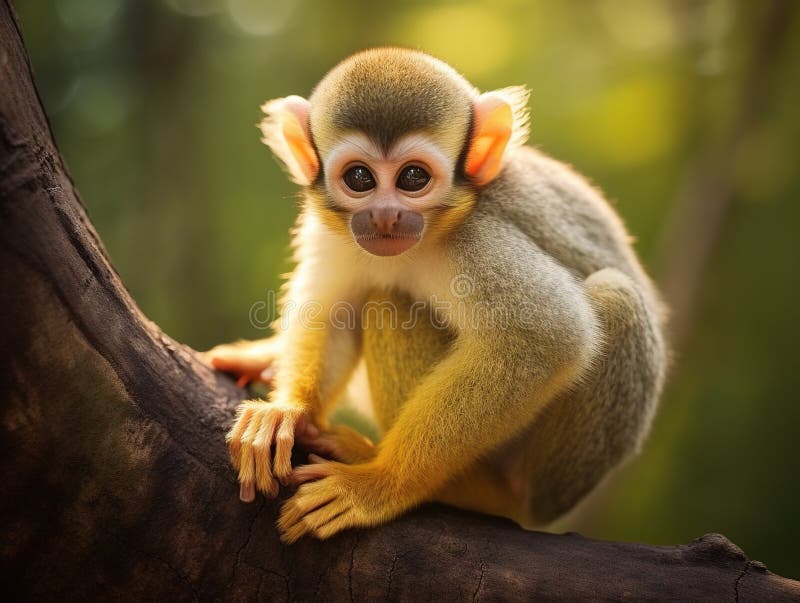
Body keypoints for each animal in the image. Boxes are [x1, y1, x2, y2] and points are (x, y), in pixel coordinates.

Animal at [204, 48, 667, 543]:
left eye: (412, 178)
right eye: (360, 179)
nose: (385, 217)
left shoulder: (478, 236)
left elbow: (549, 336)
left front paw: (378, 484)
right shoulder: (332, 228)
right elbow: (335, 315)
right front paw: (287, 412)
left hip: (545, 481)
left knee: (614, 298)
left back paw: (469, 490)